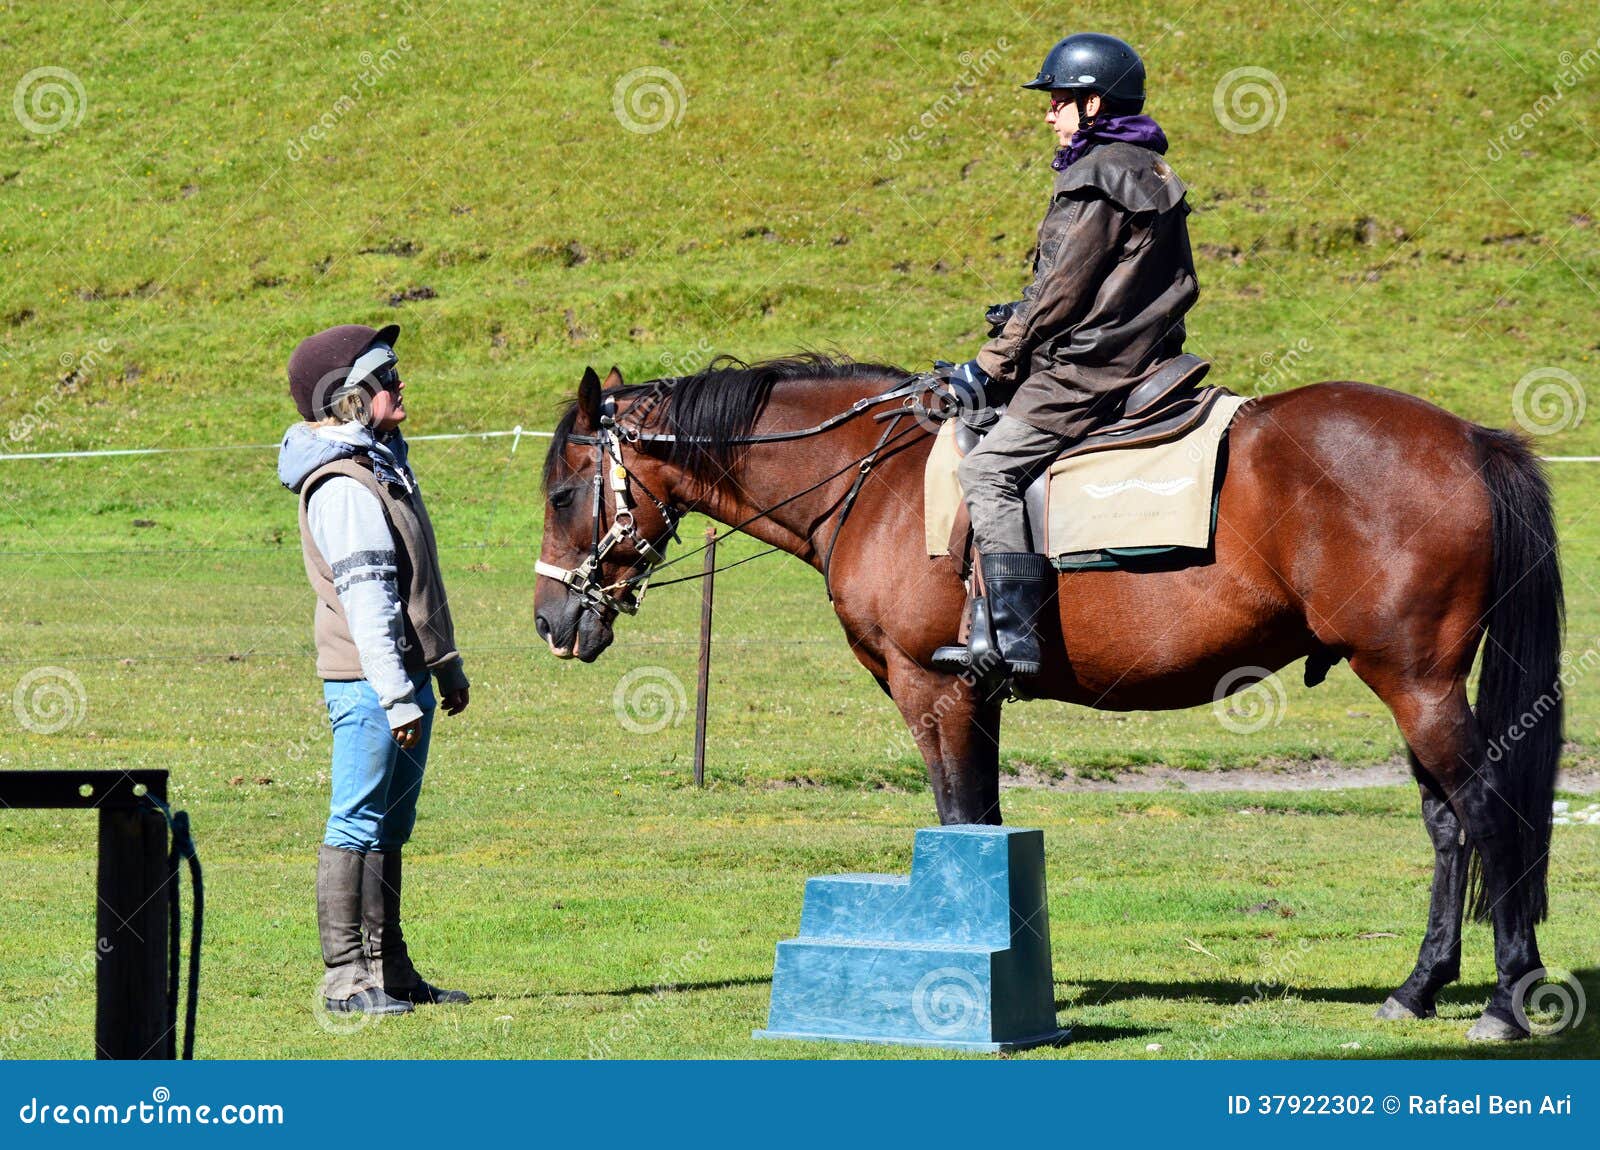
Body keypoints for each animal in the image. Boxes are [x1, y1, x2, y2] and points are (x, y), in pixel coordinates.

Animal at [533, 354, 1564, 1042]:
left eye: (561, 493)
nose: (549, 619)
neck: (877, 480)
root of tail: (1470, 438)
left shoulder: (933, 691)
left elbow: (956, 819)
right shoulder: (977, 699)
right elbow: (985, 822)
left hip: (1415, 681)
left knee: (1489, 812)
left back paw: (1508, 999)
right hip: (1407, 683)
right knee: (1447, 824)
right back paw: (1419, 987)